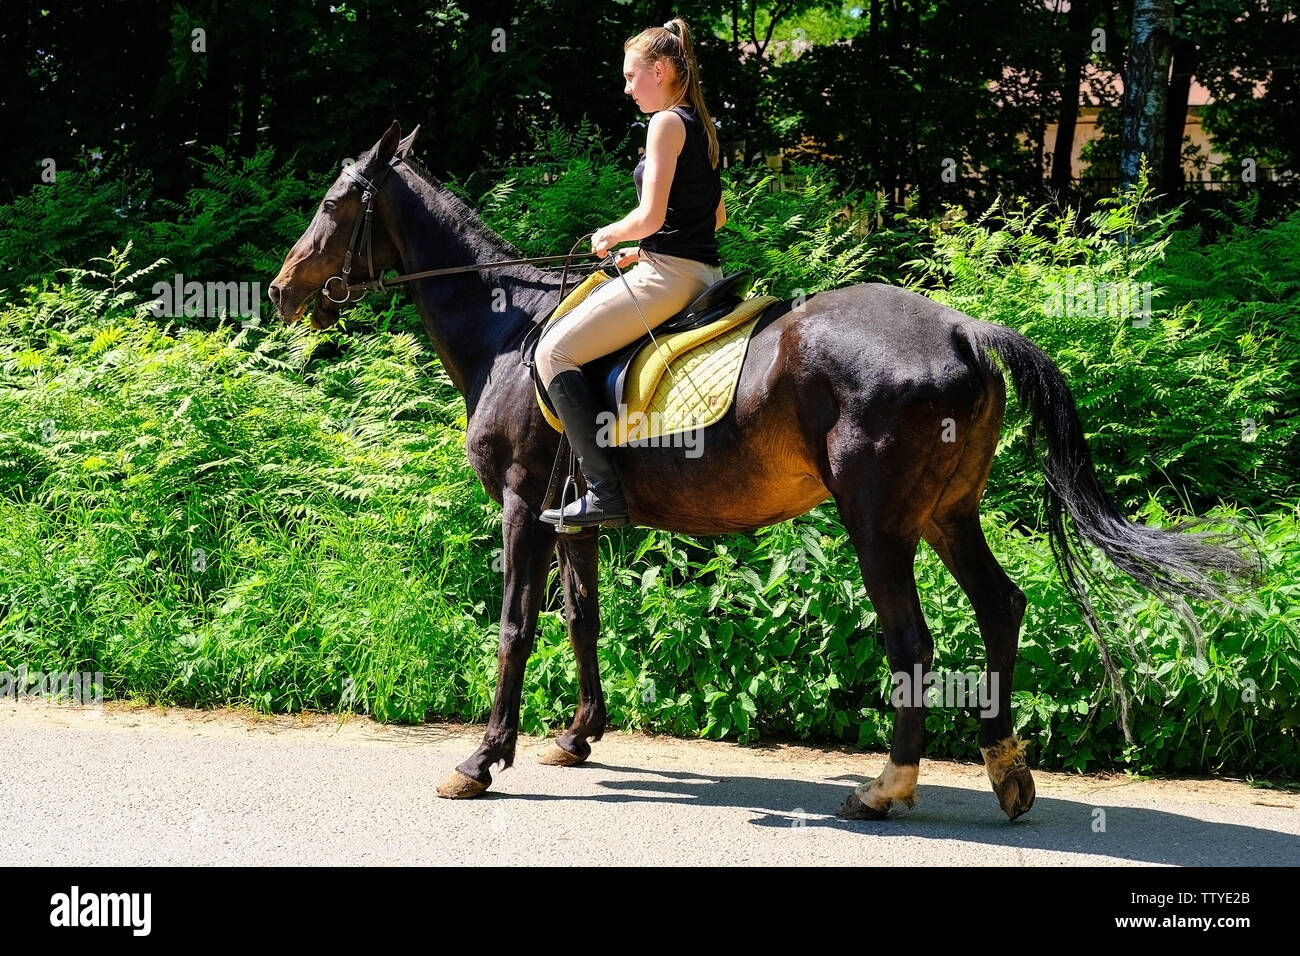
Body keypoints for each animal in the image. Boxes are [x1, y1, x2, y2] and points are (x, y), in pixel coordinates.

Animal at [269, 122, 1259, 821]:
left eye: (335, 202)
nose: (280, 291)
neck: (509, 334)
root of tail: (960, 327)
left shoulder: (519, 503)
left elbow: (516, 627)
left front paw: (481, 760)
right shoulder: (572, 515)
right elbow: (584, 620)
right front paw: (579, 738)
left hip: (880, 522)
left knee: (912, 639)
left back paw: (887, 787)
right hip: (949, 512)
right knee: (999, 606)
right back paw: (1005, 768)